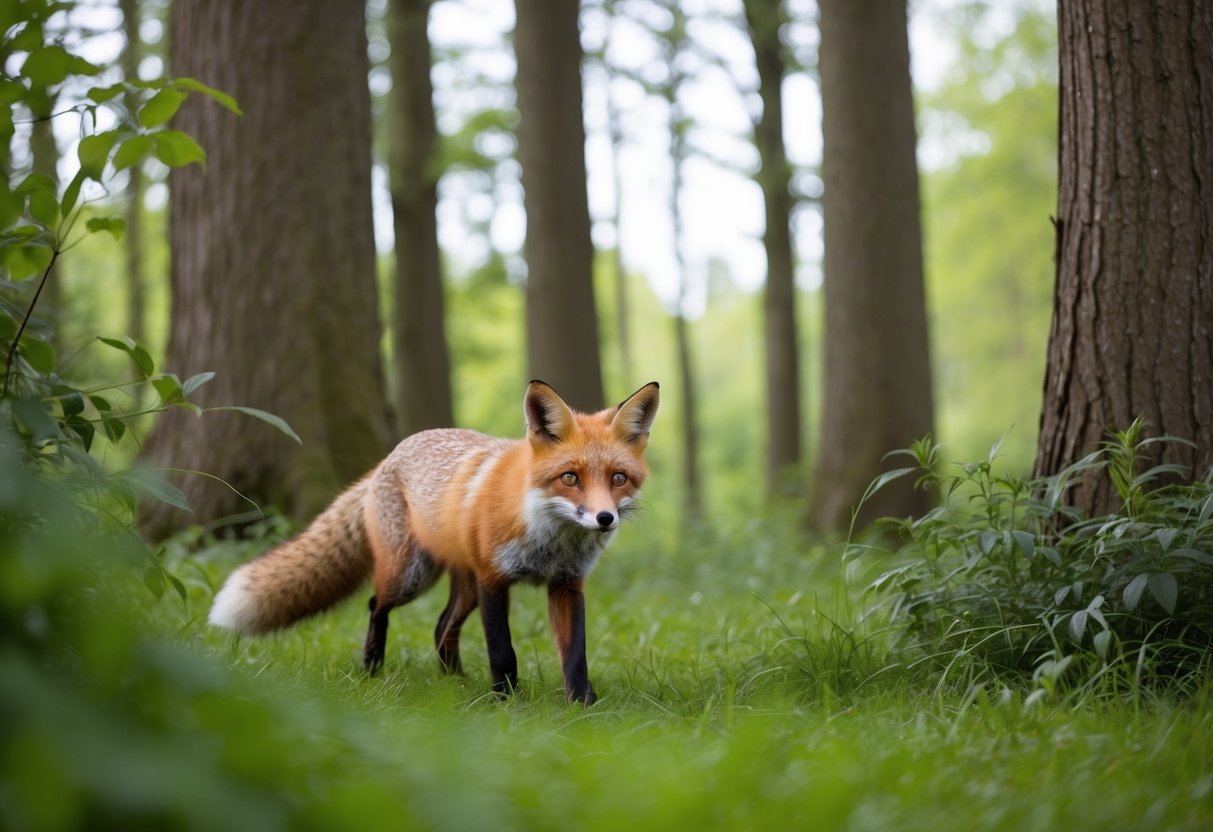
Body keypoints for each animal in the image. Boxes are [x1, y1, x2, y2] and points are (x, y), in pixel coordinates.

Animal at [208, 380, 659, 704]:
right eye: (570, 477)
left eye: (619, 478)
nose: (604, 519)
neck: (548, 540)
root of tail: (388, 457)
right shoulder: (494, 580)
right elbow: (502, 651)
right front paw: (507, 703)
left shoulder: (566, 585)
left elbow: (575, 654)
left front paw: (583, 706)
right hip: (412, 576)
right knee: (376, 605)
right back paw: (372, 668)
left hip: (463, 585)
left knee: (442, 626)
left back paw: (455, 681)